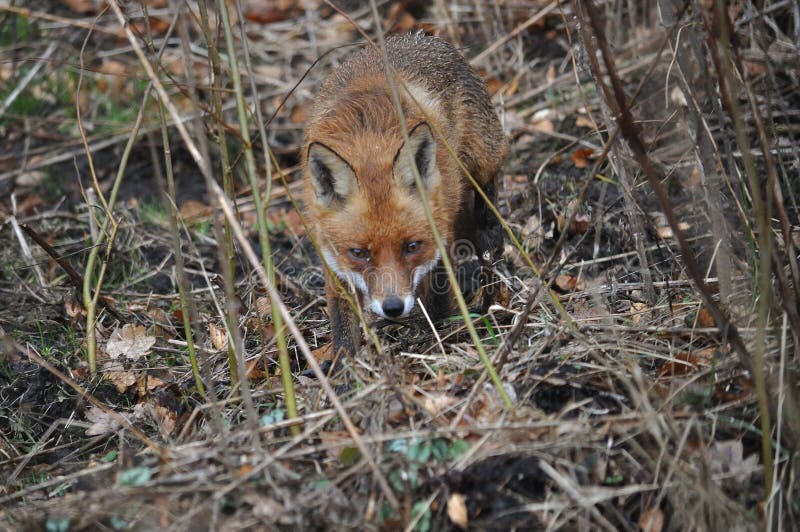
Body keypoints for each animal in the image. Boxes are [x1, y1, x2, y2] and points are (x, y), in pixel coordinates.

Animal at [303, 33, 508, 358]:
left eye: (412, 246)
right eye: (358, 253)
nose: (393, 308)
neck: (369, 143)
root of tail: (425, 38)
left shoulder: (439, 234)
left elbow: (439, 294)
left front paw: (435, 334)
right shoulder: (331, 256)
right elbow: (341, 322)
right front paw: (345, 365)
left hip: (479, 172)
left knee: (488, 233)